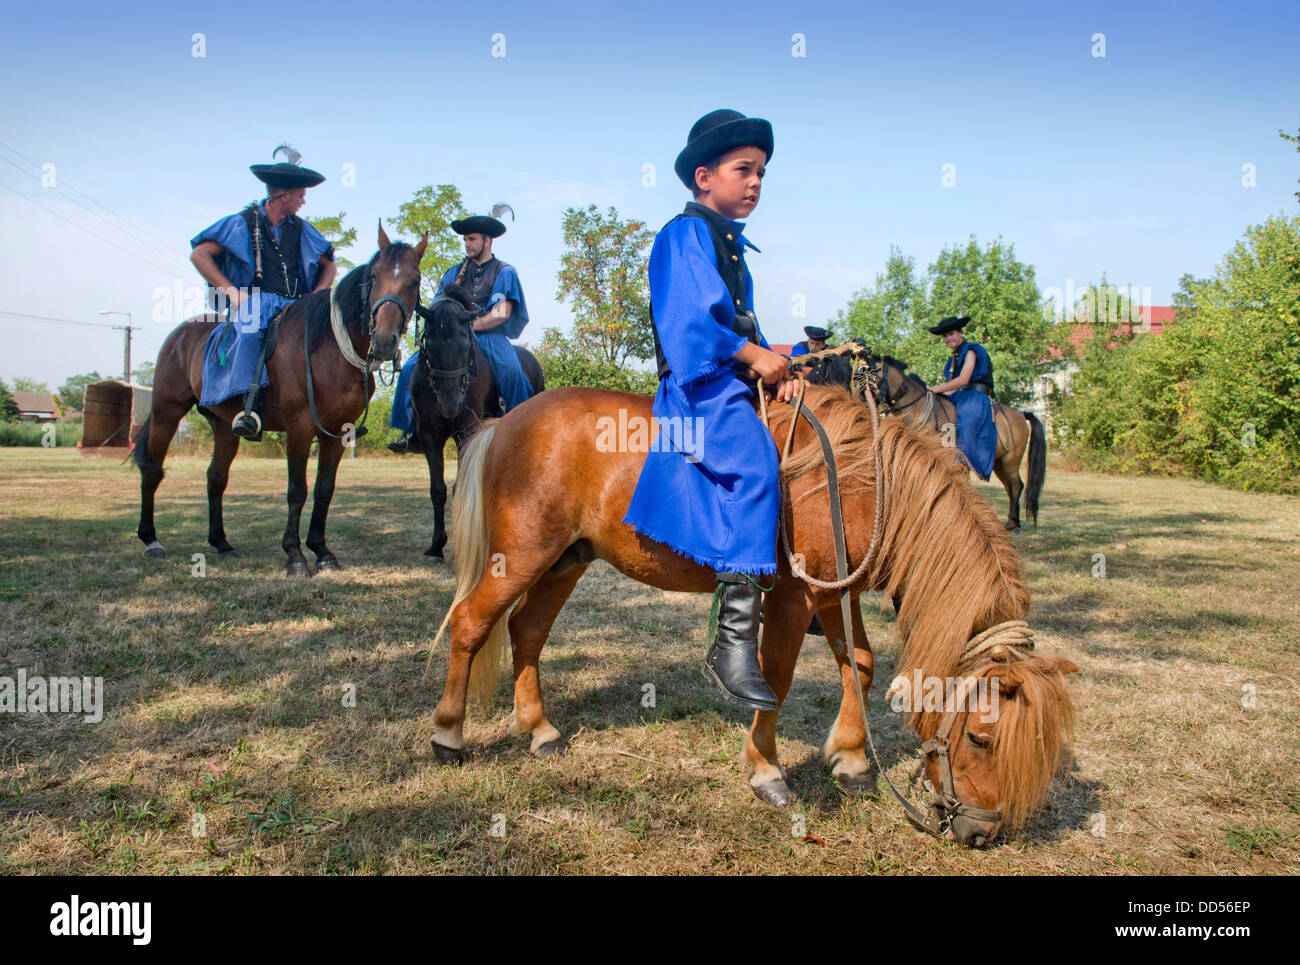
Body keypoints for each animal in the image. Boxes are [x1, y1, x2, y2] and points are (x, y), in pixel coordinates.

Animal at [132, 224, 428, 576]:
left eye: (414, 281)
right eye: (374, 275)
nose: (384, 341)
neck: (328, 348)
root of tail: (179, 336)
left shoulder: (337, 433)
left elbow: (324, 490)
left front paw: (322, 551)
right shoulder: (299, 429)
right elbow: (297, 491)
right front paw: (295, 555)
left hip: (223, 426)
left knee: (216, 478)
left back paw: (222, 543)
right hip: (167, 411)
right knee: (152, 470)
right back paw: (150, 540)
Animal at [408, 282, 543, 559]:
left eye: (465, 345)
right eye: (430, 346)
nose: (450, 405)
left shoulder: (466, 431)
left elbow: (460, 487)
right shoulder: (429, 434)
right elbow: (438, 490)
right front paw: (436, 545)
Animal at [426, 383, 1077, 846]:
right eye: (982, 738)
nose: (980, 834)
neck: (858, 484)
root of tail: (506, 422)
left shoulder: (836, 593)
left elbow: (861, 665)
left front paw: (852, 759)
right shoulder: (794, 597)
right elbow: (777, 679)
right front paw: (767, 770)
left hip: (565, 560)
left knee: (527, 631)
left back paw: (539, 730)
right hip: (523, 554)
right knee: (472, 624)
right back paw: (449, 735)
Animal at [853, 354, 1046, 530]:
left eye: (871, 373)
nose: (857, 400)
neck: (918, 408)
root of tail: (1020, 414)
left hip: (1011, 461)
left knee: (1017, 486)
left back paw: (1013, 522)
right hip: (1000, 463)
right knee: (1010, 487)